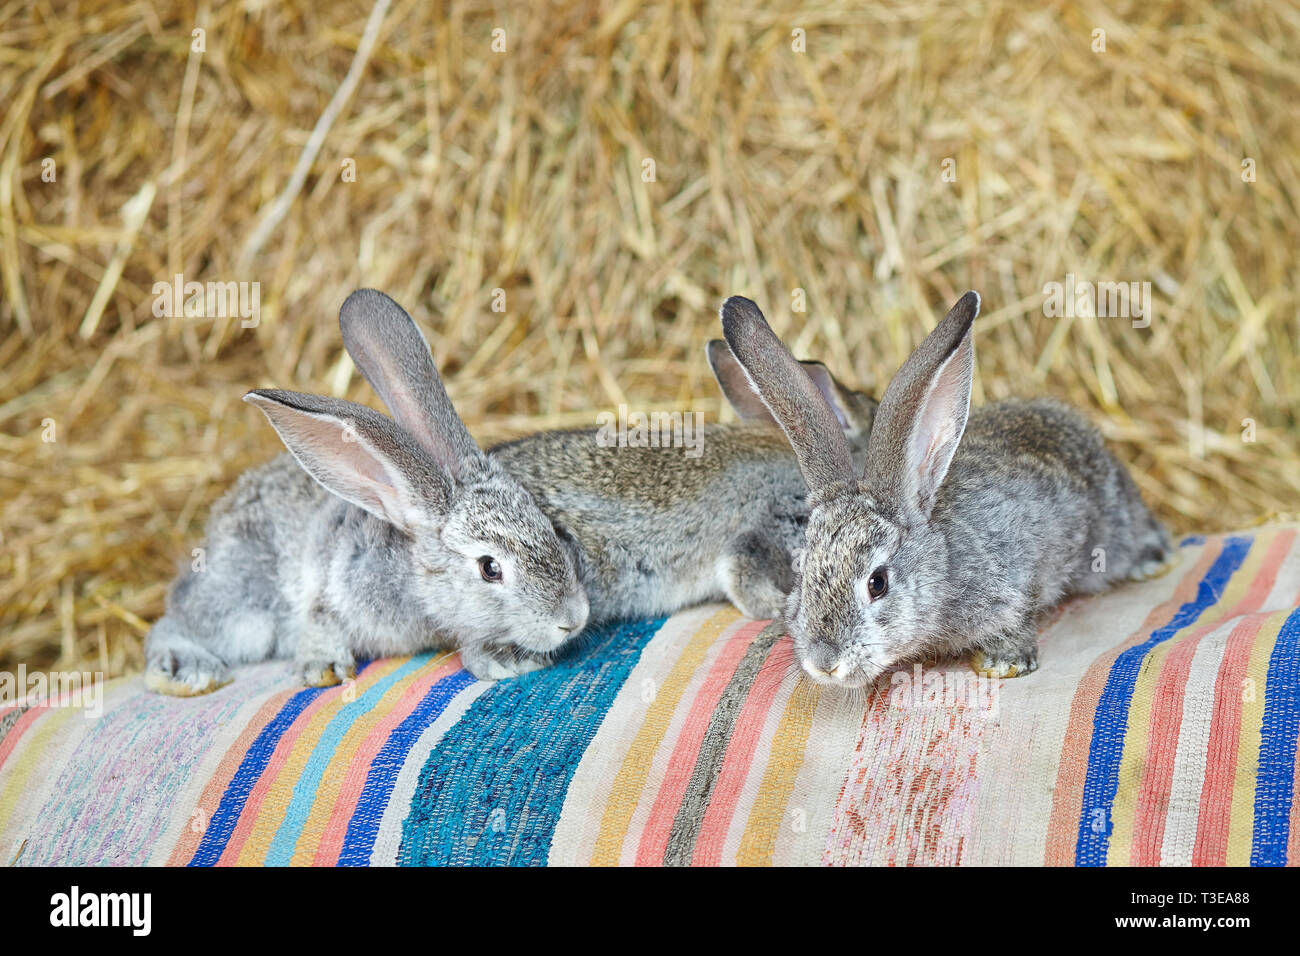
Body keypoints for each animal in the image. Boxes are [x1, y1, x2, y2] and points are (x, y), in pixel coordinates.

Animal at [144, 366, 590, 695]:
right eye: (489, 568)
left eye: (551, 528)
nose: (574, 619)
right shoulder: (332, 587)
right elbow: (320, 619)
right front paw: (323, 668)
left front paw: (507, 660)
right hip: (244, 611)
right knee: (171, 624)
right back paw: (190, 669)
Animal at [718, 290, 1175, 688]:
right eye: (801, 570)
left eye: (877, 583)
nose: (824, 663)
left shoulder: (1011, 584)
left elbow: (1017, 620)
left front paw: (1003, 664)